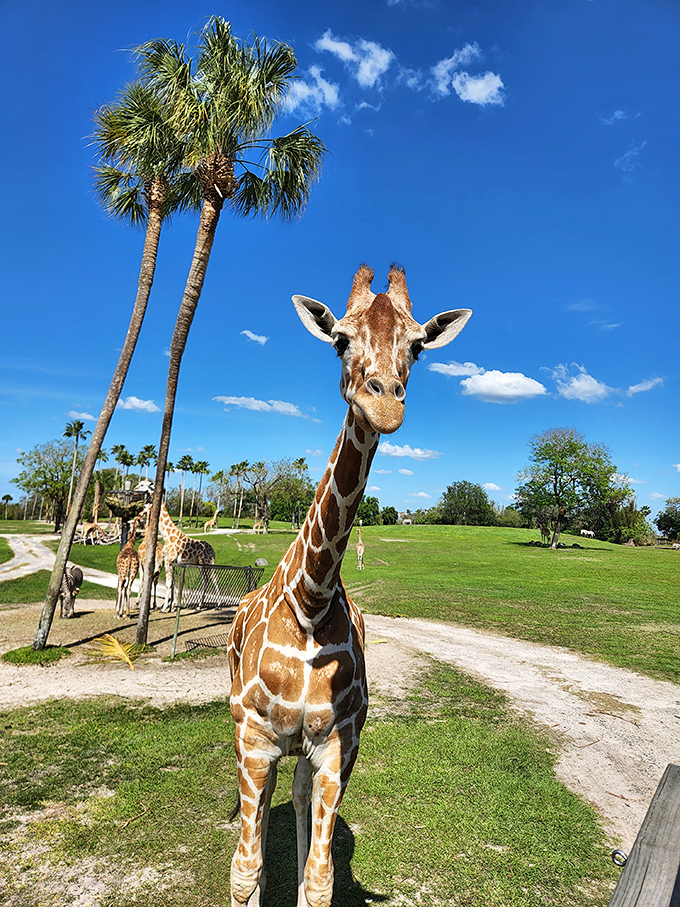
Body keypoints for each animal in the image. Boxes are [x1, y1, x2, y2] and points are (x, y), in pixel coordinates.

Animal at [227, 264, 471, 907]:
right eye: (339, 339)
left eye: (417, 345)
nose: (382, 404)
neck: (310, 599)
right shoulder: (255, 741)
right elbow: (244, 869)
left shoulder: (339, 745)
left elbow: (320, 878)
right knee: (261, 816)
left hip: (307, 755)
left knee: (297, 798)